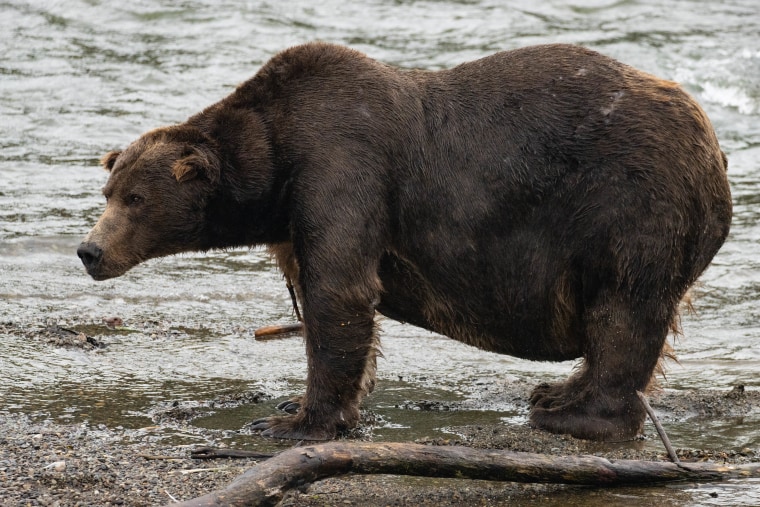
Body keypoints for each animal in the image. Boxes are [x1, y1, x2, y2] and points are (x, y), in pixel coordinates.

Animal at [78, 42, 732, 442]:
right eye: (108, 189)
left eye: (134, 199)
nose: (89, 251)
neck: (274, 166)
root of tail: (714, 146)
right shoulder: (295, 214)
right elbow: (324, 302)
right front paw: (312, 406)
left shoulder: (343, 165)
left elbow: (339, 293)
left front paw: (294, 421)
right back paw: (555, 390)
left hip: (628, 201)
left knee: (623, 309)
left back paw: (572, 414)